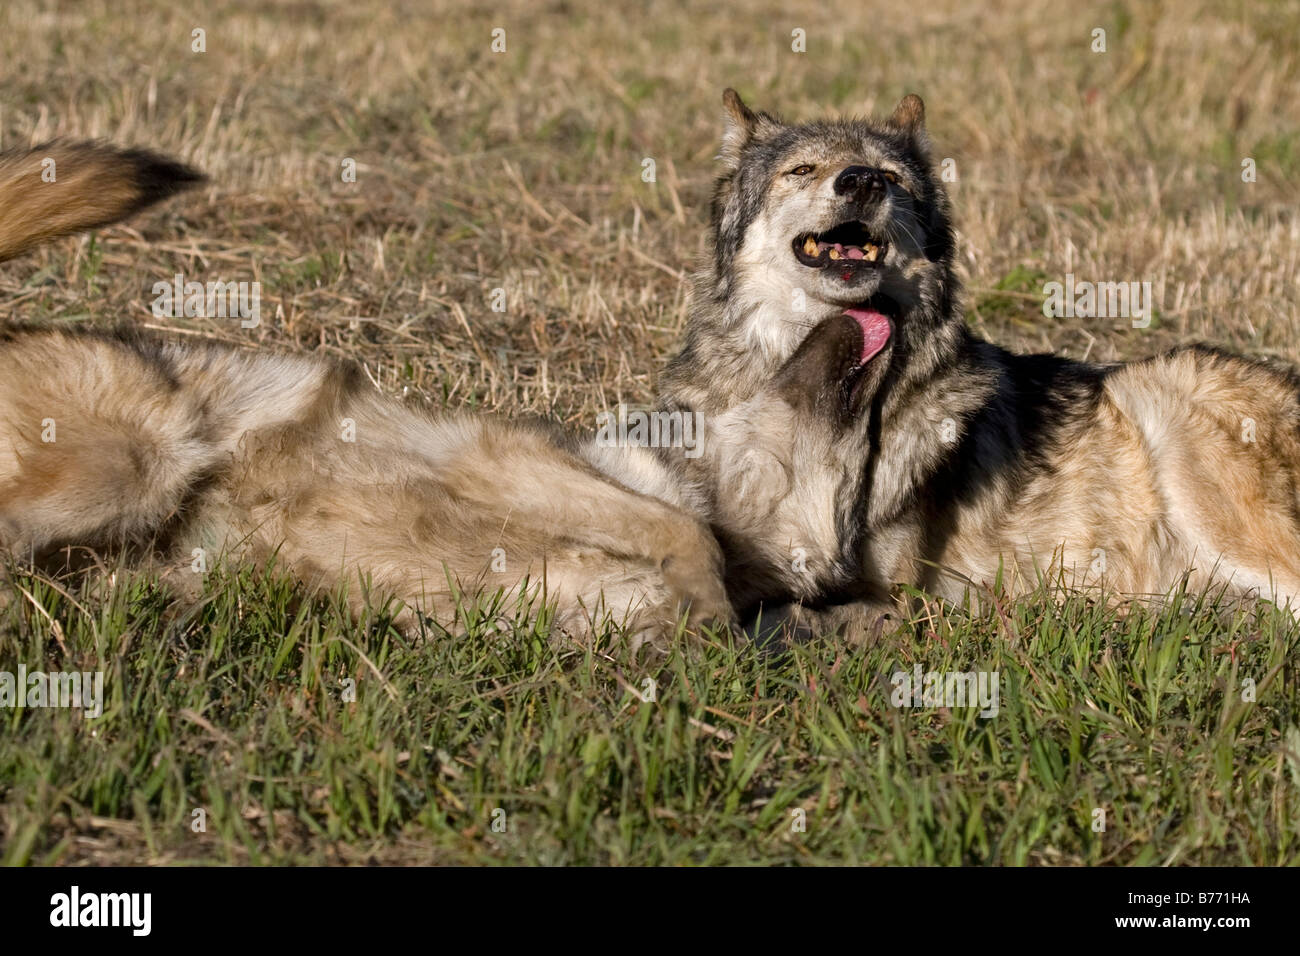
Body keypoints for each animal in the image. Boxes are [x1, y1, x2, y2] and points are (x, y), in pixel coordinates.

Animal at [0, 140, 869, 647]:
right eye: (854, 457)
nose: (869, 329)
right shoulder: (515, 468)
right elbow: (691, 540)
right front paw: (715, 607)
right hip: (135, 461)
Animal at [659, 90, 1300, 636]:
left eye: (890, 177)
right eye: (802, 170)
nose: (862, 180)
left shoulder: (903, 600)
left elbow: (773, 611)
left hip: (1165, 398)